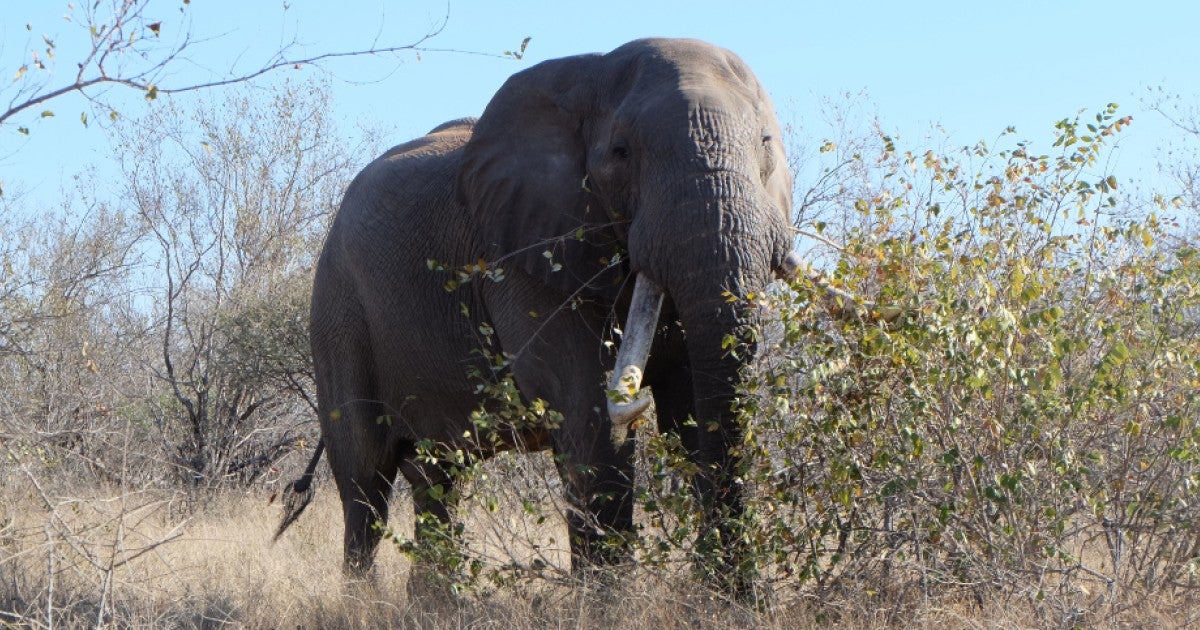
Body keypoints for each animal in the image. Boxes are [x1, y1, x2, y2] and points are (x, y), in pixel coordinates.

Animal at [276, 37, 801, 585]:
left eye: (765, 142)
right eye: (621, 153)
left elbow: (693, 412)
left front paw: (723, 594)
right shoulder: (524, 258)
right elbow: (591, 420)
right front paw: (610, 599)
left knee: (437, 478)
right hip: (337, 312)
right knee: (365, 480)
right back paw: (364, 595)